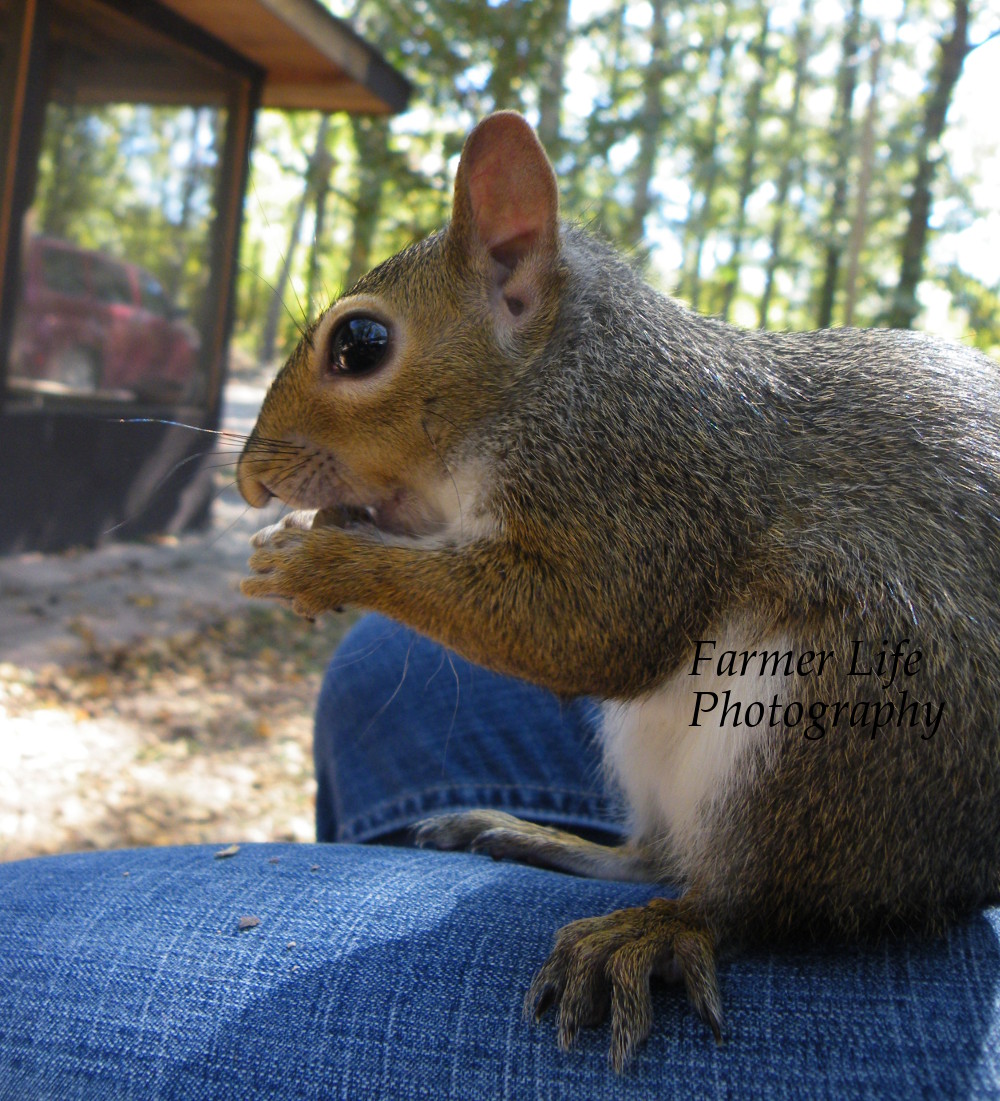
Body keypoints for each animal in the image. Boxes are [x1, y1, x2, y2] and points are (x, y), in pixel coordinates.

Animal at [237, 111, 1000, 1069]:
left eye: (361, 345)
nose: (248, 480)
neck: (554, 380)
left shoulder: (643, 491)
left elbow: (593, 628)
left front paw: (319, 561)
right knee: (655, 857)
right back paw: (526, 834)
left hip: (830, 732)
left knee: (750, 901)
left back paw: (650, 933)